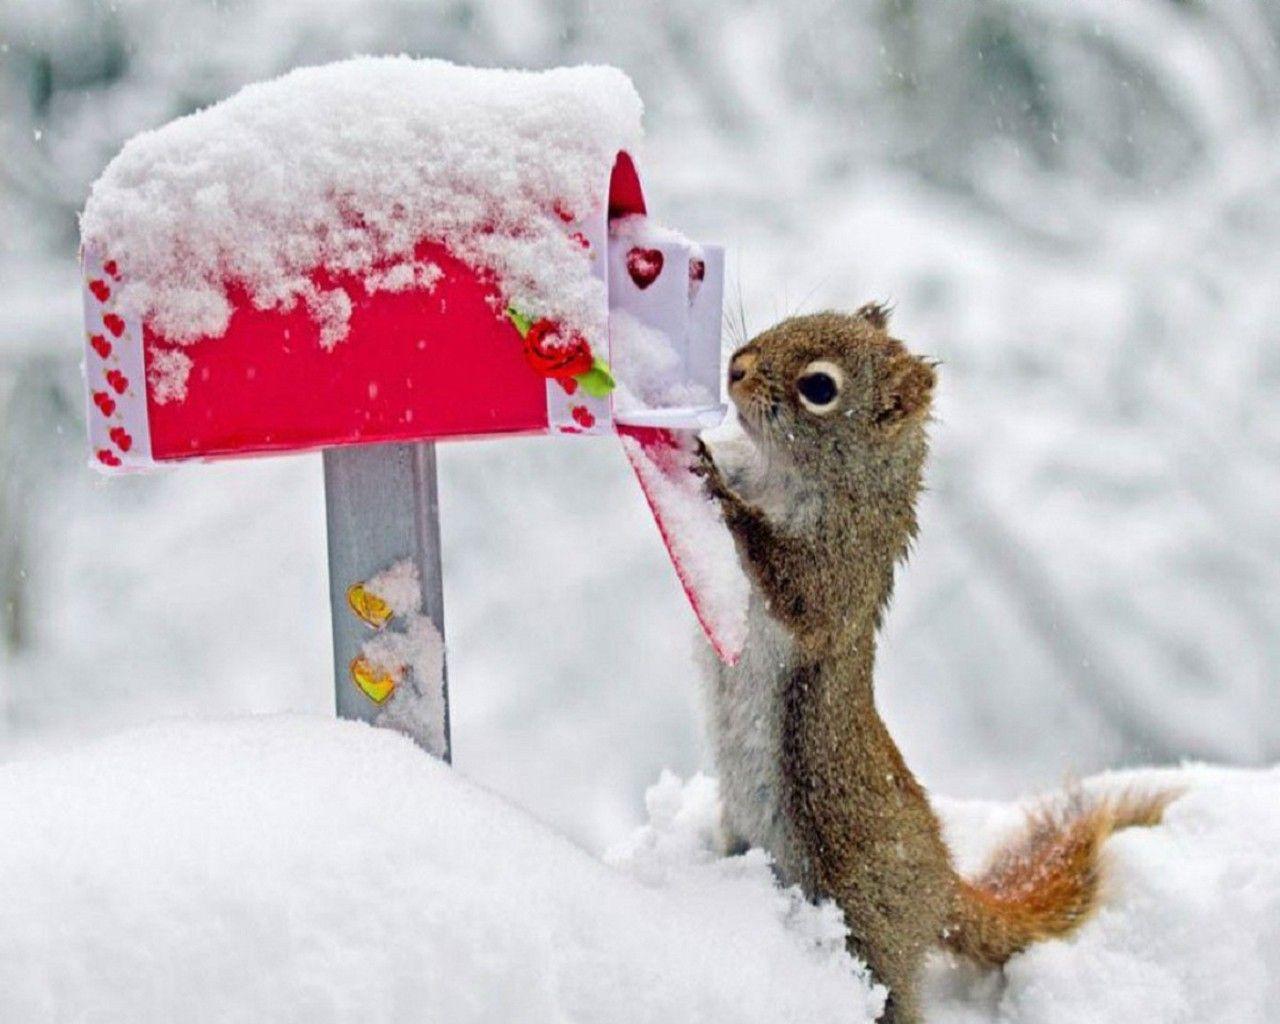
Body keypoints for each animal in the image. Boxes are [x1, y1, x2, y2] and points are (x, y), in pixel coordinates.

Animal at [694, 306, 1174, 1024]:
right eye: (796, 316)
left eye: (819, 388)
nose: (737, 368)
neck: (787, 475)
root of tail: (941, 882)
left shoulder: (842, 571)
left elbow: (795, 587)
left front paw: (719, 488)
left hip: (869, 915)